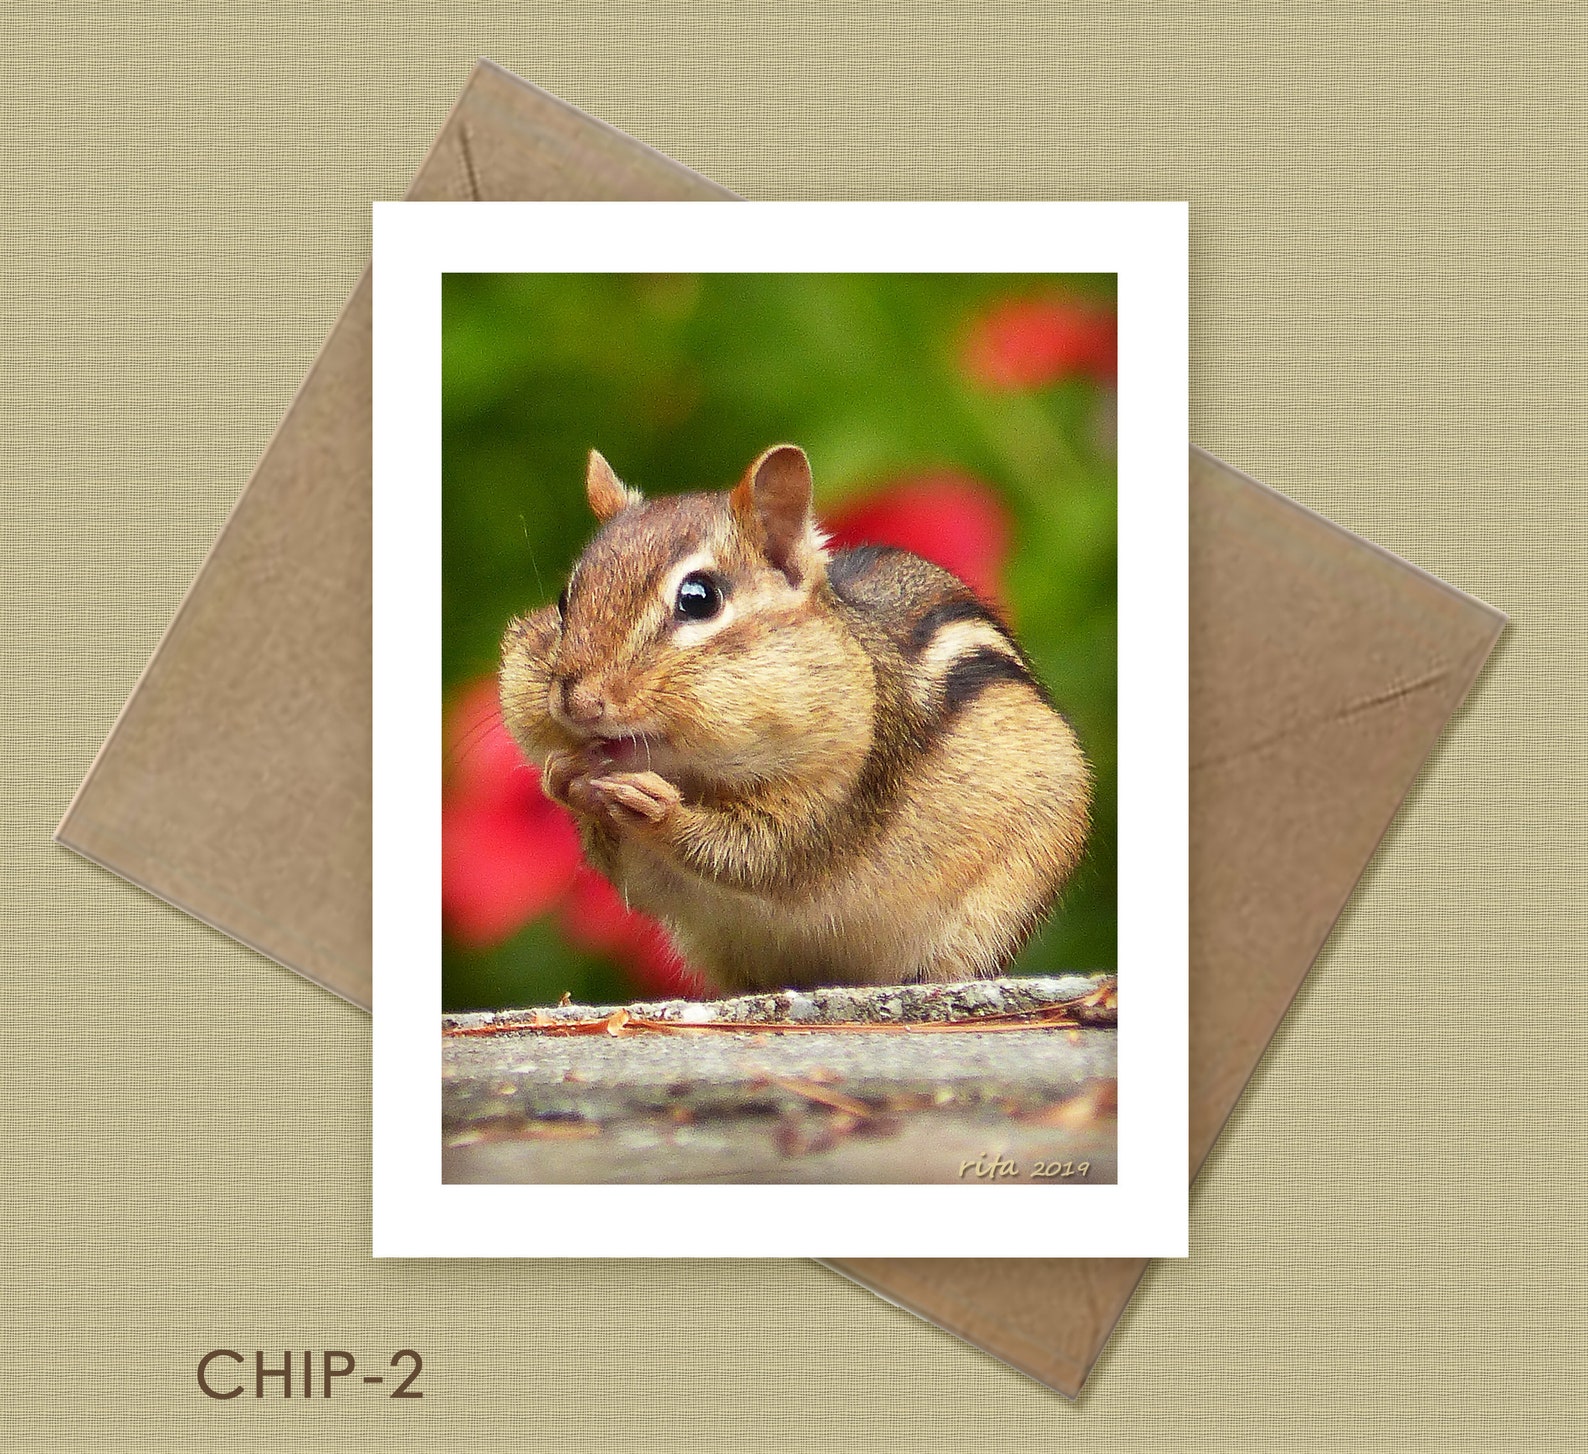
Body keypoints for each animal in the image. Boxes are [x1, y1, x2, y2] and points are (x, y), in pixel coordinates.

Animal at [498, 444, 1092, 995]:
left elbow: (763, 854)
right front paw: (565, 779)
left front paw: (659, 807)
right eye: (564, 600)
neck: (699, 773)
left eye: (699, 598)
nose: (579, 703)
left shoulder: (846, 788)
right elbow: (634, 879)